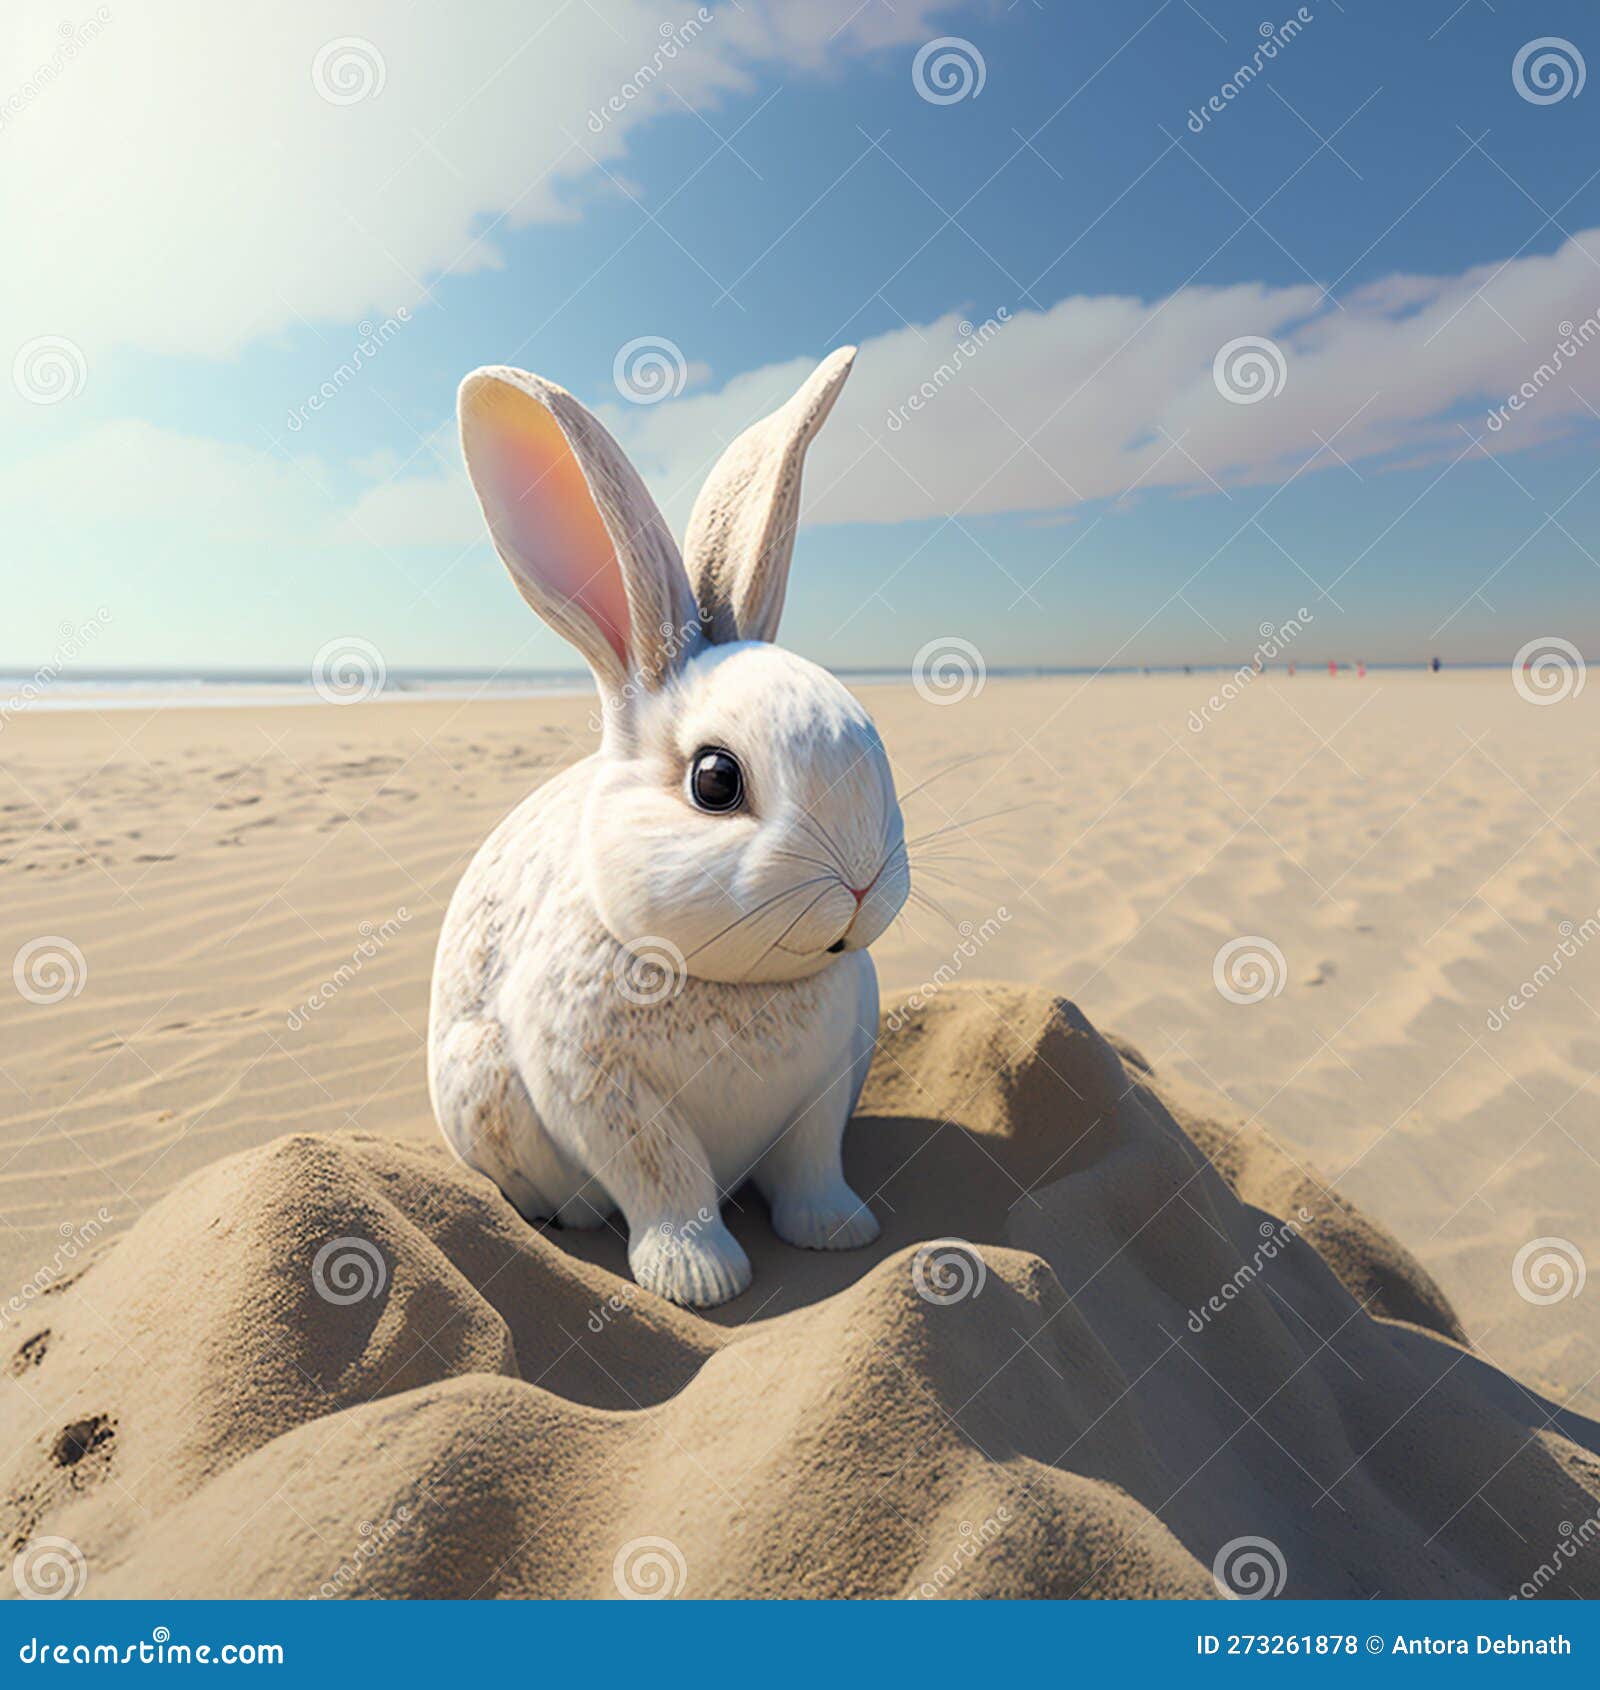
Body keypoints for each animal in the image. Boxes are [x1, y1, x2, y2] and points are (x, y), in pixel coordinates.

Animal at [428, 347, 910, 1309]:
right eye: (715, 780)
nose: (862, 882)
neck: (737, 982)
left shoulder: (824, 1089)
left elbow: (812, 1168)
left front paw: (839, 1234)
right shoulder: (605, 1092)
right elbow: (665, 1179)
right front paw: (698, 1281)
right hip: (480, 1074)